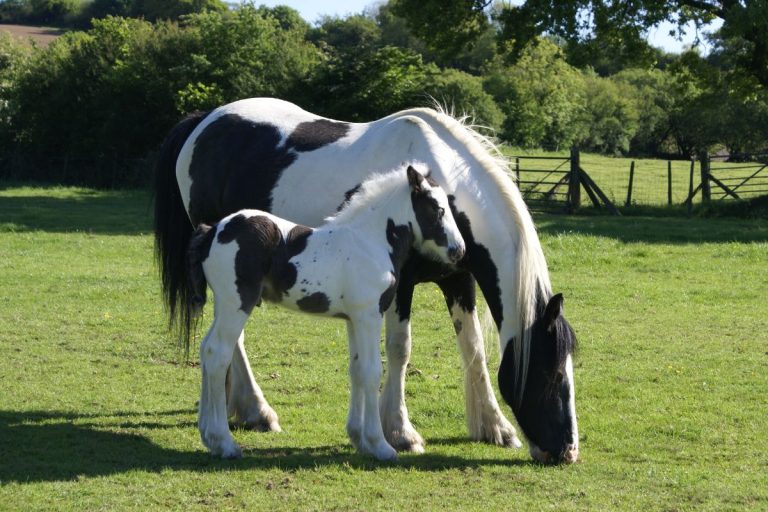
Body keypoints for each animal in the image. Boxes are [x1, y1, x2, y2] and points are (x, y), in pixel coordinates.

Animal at [186, 164, 466, 460]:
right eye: (437, 209)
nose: (459, 250)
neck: (370, 242)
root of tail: (212, 231)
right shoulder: (369, 315)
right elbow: (371, 372)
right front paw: (380, 445)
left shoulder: (353, 319)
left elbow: (356, 369)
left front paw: (359, 439)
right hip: (236, 303)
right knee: (217, 353)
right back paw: (224, 442)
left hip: (223, 303)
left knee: (205, 349)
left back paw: (208, 435)